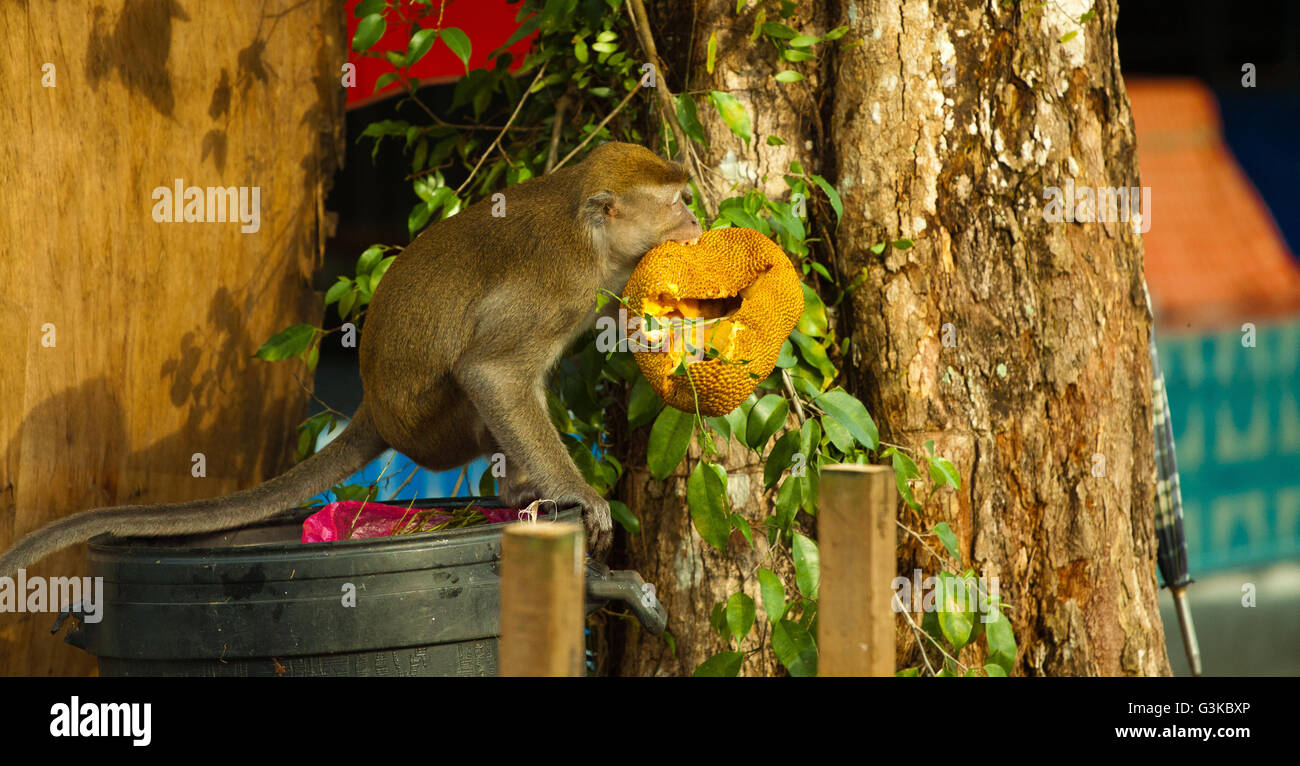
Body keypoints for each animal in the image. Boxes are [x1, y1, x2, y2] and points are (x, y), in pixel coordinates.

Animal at [0, 141, 702, 576]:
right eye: (675, 202)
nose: (696, 225)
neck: (589, 236)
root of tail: (375, 411)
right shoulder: (558, 288)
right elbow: (490, 371)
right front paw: (580, 496)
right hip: (437, 429)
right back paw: (523, 487)